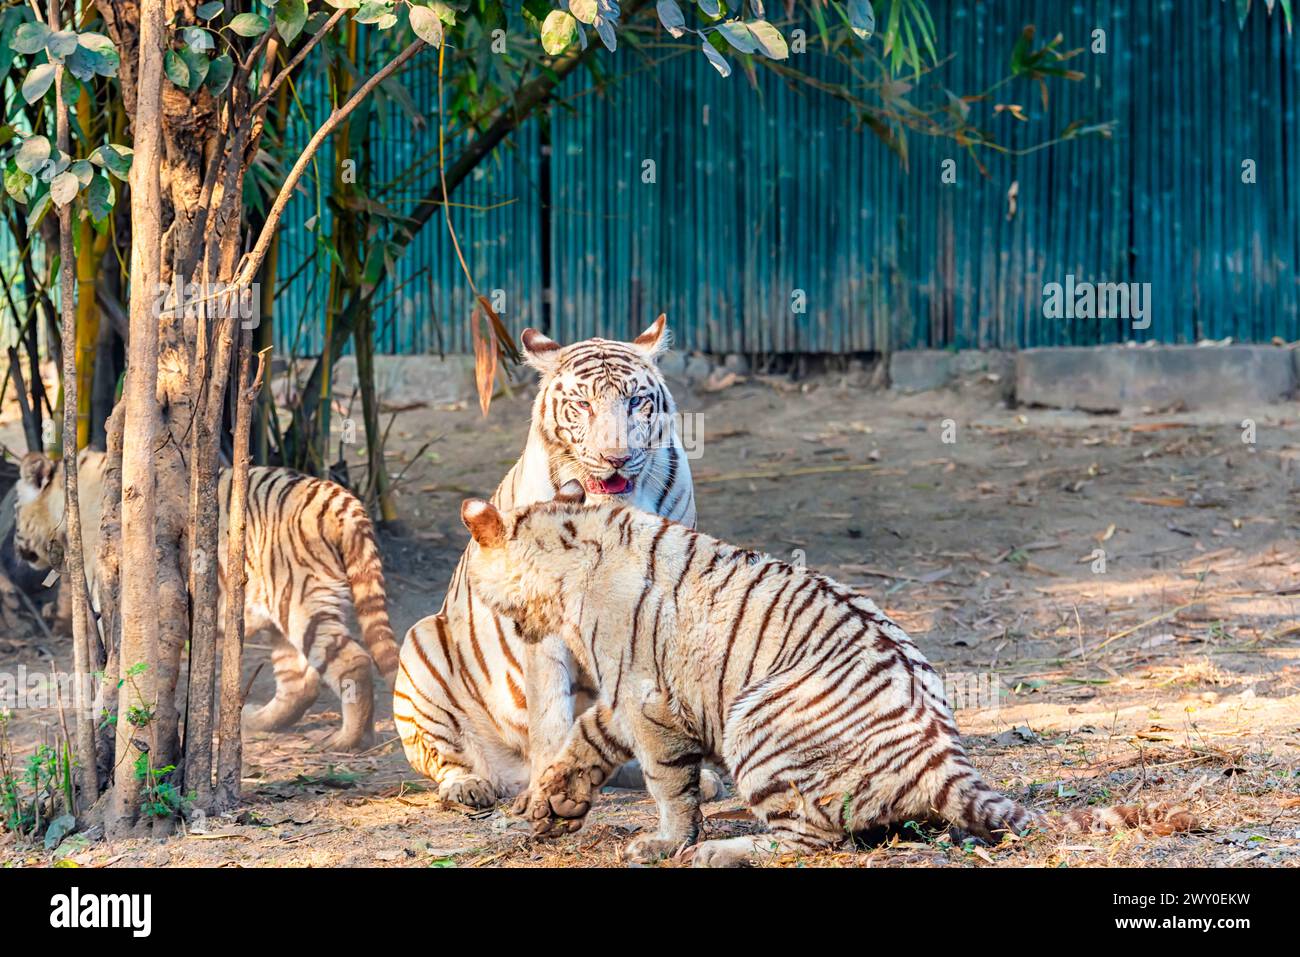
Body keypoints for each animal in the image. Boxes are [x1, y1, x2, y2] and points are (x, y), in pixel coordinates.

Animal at [12, 450, 399, 751]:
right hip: (283, 611)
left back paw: (348, 740)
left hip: (300, 600)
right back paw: (258, 721)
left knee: (353, 662)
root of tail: (342, 500)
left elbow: (118, 673)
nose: (15, 545)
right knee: (300, 681)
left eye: (14, 508)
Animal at [393, 316, 703, 807]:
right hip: (419, 645)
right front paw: (548, 782)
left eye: (636, 401)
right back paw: (472, 786)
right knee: (446, 756)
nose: (616, 458)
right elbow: (551, 707)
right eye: (582, 405)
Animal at [460, 482, 1199, 866]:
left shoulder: (648, 701)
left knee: (810, 840)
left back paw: (722, 851)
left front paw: (665, 841)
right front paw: (552, 802)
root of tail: (944, 753)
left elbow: (669, 786)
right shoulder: (622, 700)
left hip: (758, 725)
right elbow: (584, 739)